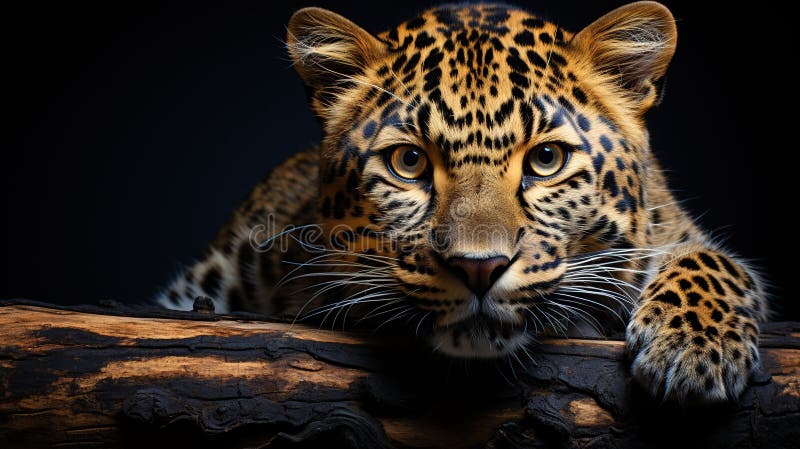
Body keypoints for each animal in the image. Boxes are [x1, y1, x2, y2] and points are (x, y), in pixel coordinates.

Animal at [157, 1, 768, 404]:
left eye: (547, 159)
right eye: (408, 162)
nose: (480, 269)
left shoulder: (673, 231)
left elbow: (715, 260)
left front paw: (692, 351)